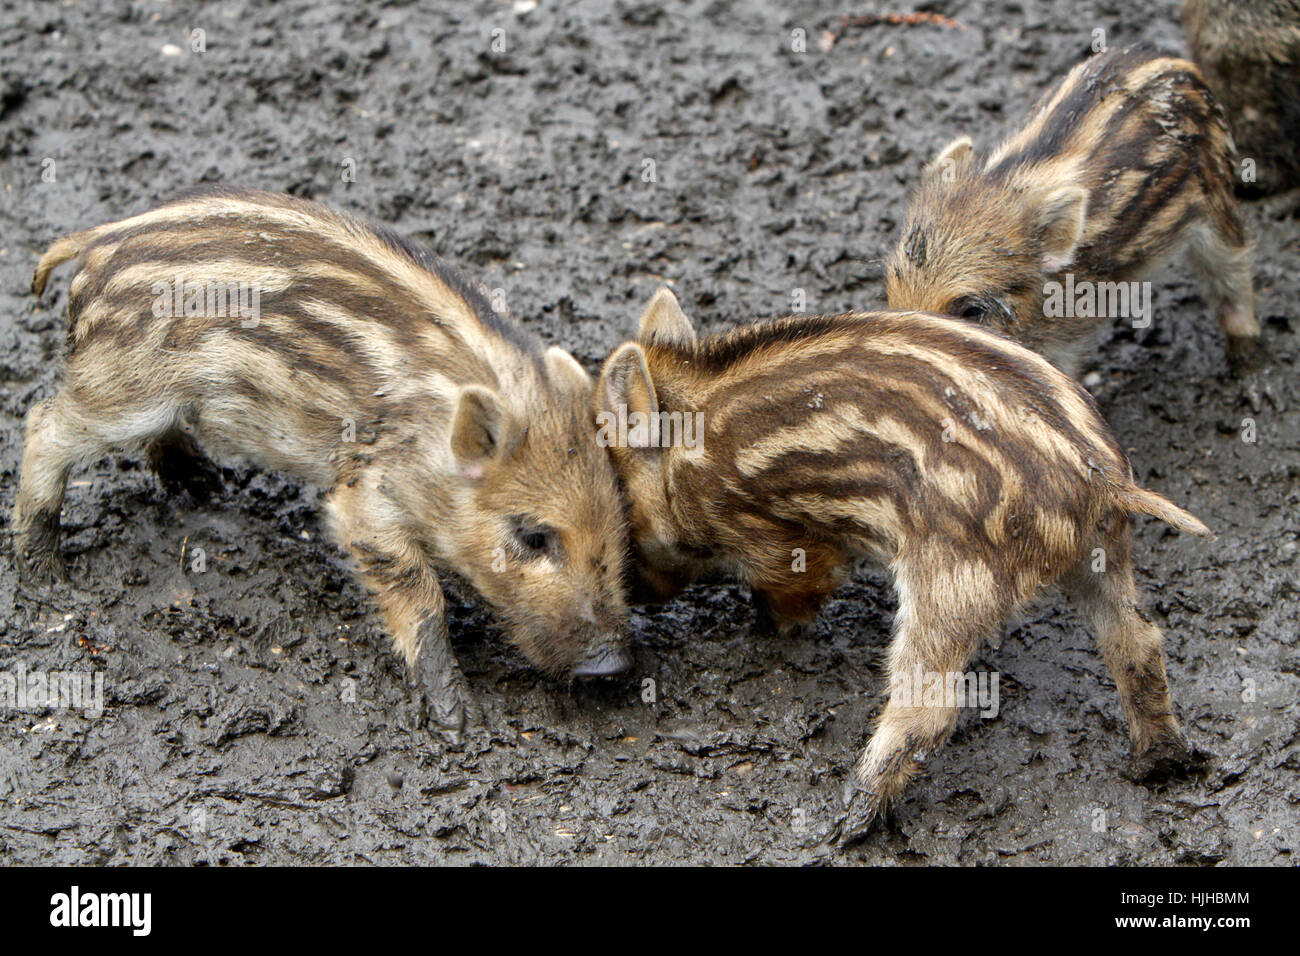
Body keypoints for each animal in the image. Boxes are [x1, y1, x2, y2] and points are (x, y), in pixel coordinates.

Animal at [15, 186, 632, 740]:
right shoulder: (366, 494)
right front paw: (460, 723)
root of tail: (96, 240)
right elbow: (418, 594)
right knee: (43, 425)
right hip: (120, 386)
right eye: (531, 537)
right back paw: (48, 576)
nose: (612, 665)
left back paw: (203, 487)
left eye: (620, 525)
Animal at [598, 288, 1210, 843]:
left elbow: (797, 587)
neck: (683, 454)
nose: (638, 598)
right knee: (1136, 642)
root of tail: (1099, 478)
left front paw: (773, 629)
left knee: (929, 703)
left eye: (622, 500)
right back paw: (1160, 762)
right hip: (1100, 556)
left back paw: (846, 822)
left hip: (953, 576)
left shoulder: (775, 541)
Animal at [886, 44, 1259, 377]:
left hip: (1217, 199)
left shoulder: (1063, 343)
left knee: (1233, 272)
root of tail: (1179, 64)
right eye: (891, 287)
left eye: (971, 311)